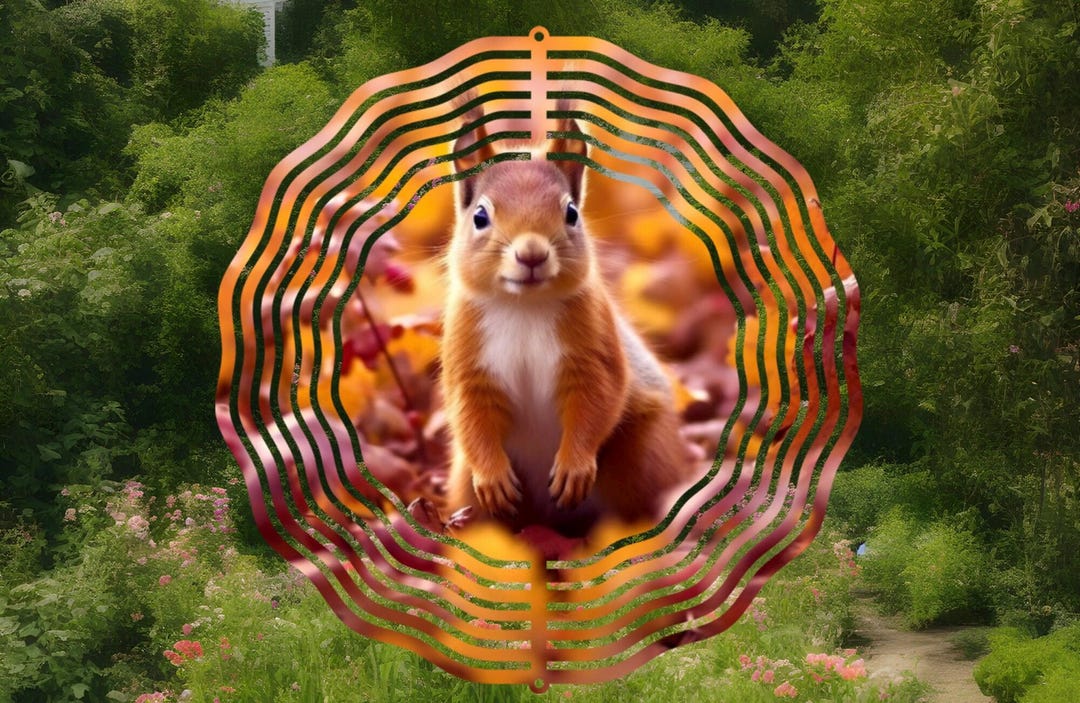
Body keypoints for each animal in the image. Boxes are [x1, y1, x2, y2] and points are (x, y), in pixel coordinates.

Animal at [440, 102, 693, 537]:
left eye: (572, 213)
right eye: (479, 216)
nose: (531, 254)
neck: (524, 307)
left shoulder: (595, 343)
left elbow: (598, 399)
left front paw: (574, 467)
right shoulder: (466, 353)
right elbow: (469, 412)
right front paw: (492, 475)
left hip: (644, 455)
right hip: (464, 487)